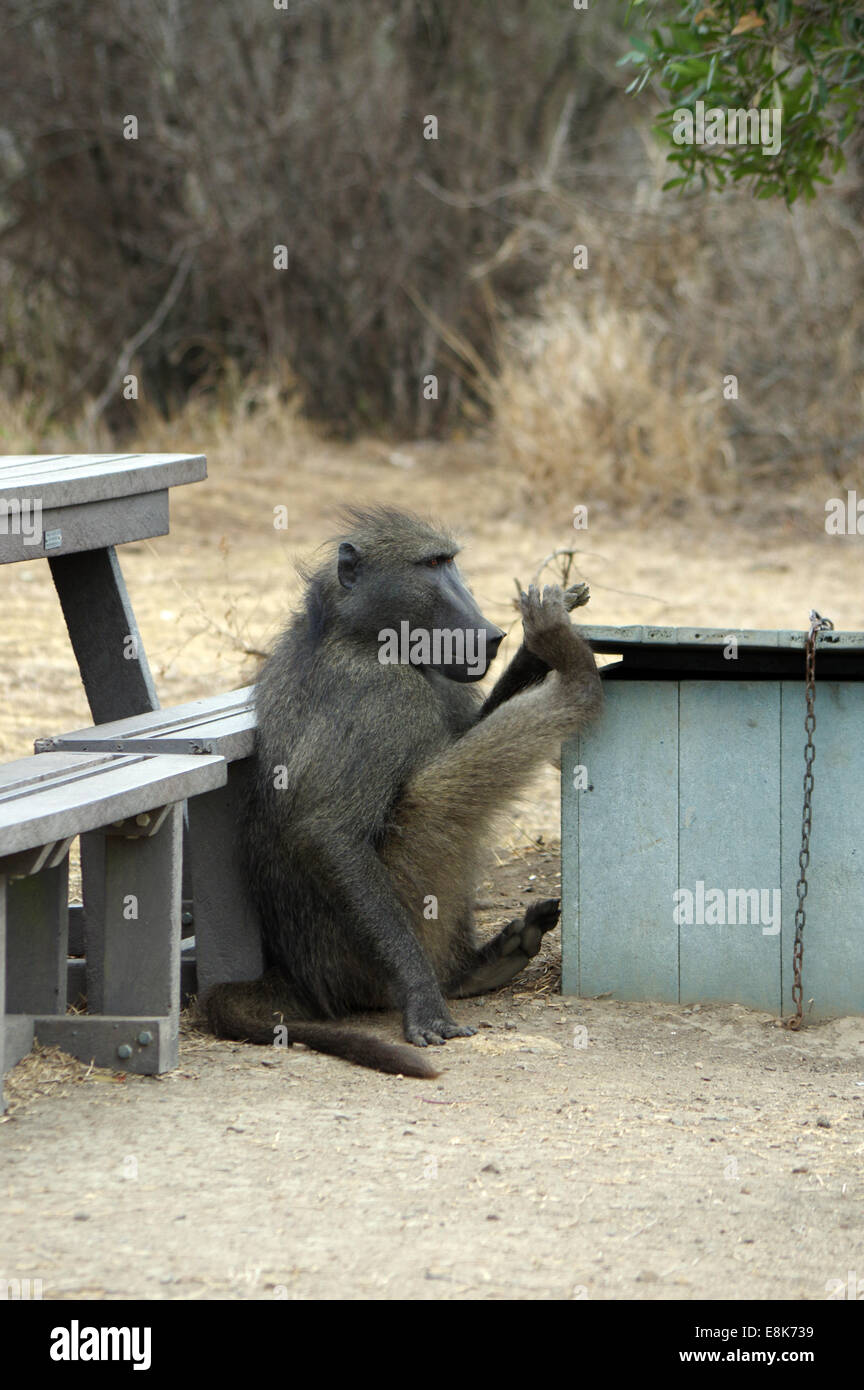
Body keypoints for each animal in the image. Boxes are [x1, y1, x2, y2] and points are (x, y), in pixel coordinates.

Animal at [202, 507, 602, 1078]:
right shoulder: (387, 696)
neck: (360, 635)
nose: (490, 635)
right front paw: (422, 998)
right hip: (366, 949)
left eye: (450, 562)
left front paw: (532, 646)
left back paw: (476, 970)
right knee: (438, 799)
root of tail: (297, 976)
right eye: (431, 565)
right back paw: (575, 676)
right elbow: (328, 834)